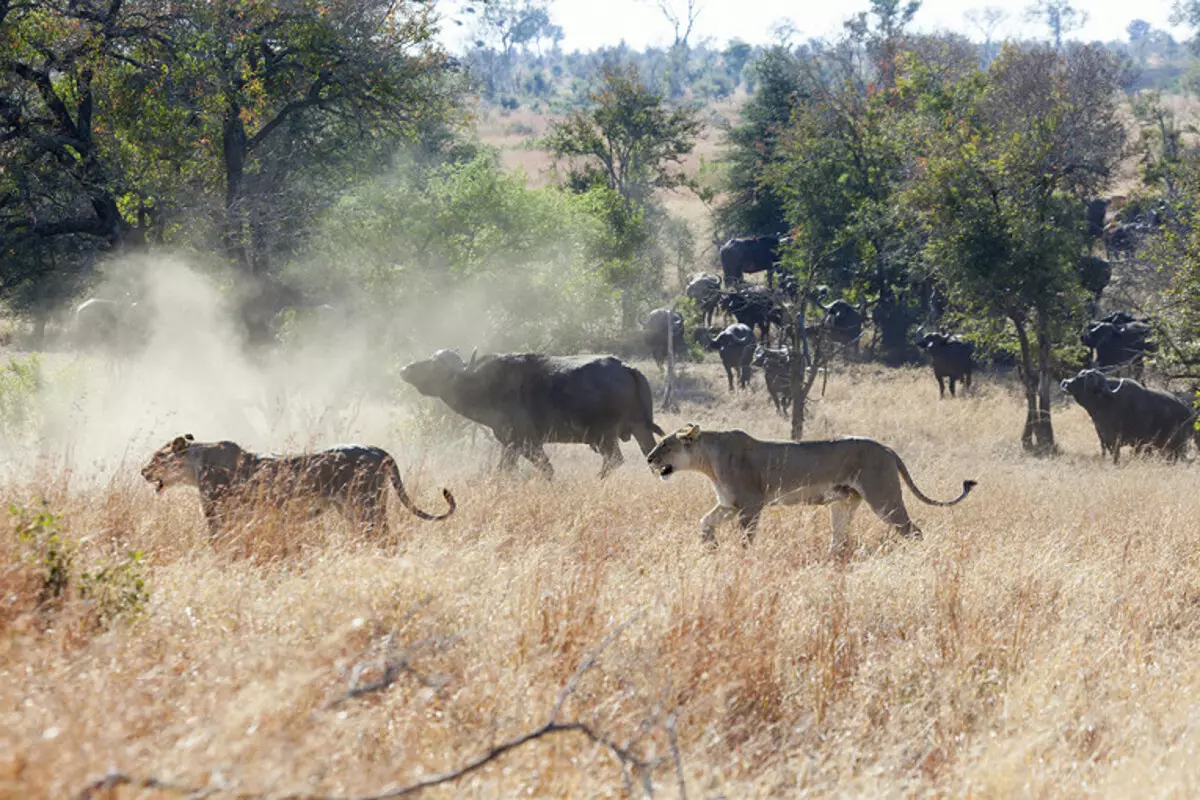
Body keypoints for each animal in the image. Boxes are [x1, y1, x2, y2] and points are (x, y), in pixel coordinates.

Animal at [140, 434, 456, 542]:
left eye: (156, 457)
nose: (143, 471)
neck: (195, 464)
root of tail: (379, 450)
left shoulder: (218, 516)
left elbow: (217, 545)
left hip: (366, 506)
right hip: (352, 510)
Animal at [400, 352, 667, 479]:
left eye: (434, 365)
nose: (405, 368)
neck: (487, 385)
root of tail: (627, 368)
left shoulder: (522, 442)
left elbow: (540, 470)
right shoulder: (515, 445)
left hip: (604, 437)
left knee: (614, 461)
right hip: (640, 430)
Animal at [648, 424, 974, 551]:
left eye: (665, 445)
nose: (649, 458)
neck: (707, 460)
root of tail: (886, 448)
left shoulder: (751, 505)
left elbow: (746, 538)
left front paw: (740, 558)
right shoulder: (730, 504)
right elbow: (705, 521)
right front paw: (710, 546)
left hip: (884, 498)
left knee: (913, 530)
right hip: (843, 502)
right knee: (839, 539)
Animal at [1065, 369, 1195, 462]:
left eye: (1090, 377)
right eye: (1080, 374)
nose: (1066, 382)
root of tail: (1188, 411)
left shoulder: (1138, 443)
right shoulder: (1107, 441)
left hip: (1178, 445)